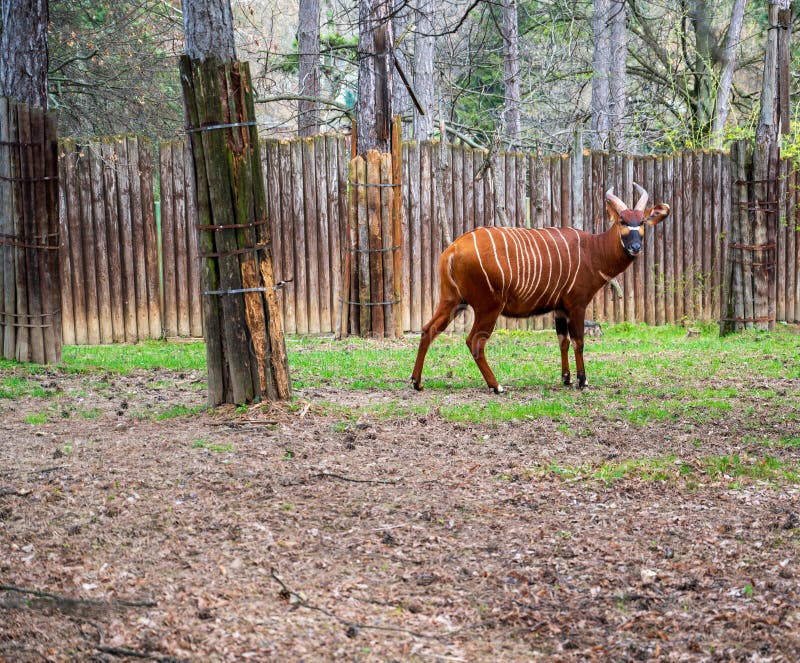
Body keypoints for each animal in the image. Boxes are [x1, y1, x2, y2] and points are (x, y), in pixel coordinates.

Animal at [410, 185, 670, 393]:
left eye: (642, 222)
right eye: (622, 221)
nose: (635, 247)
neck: (593, 251)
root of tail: (452, 250)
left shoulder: (559, 309)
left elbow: (563, 341)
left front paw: (566, 379)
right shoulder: (576, 304)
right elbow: (579, 341)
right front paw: (582, 381)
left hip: (453, 300)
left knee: (428, 330)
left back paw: (417, 382)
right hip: (488, 306)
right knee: (474, 340)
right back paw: (497, 386)